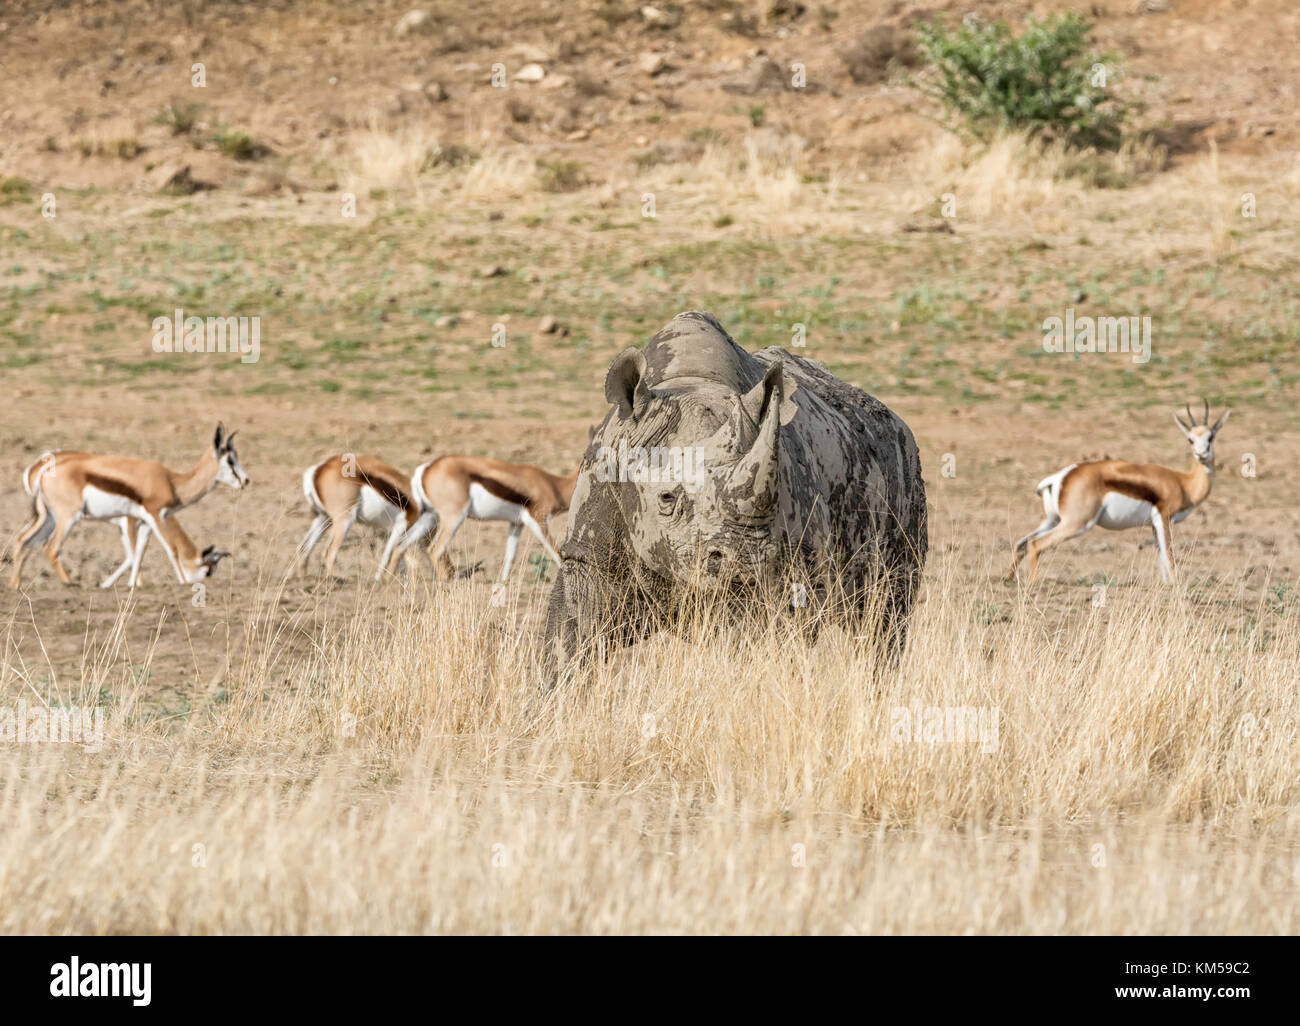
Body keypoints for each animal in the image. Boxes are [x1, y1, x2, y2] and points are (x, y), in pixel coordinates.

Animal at [542, 310, 927, 687]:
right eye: (666, 497)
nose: (743, 561)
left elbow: (755, 654)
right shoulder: (590, 557)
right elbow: (569, 642)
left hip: (903, 466)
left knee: (883, 622)